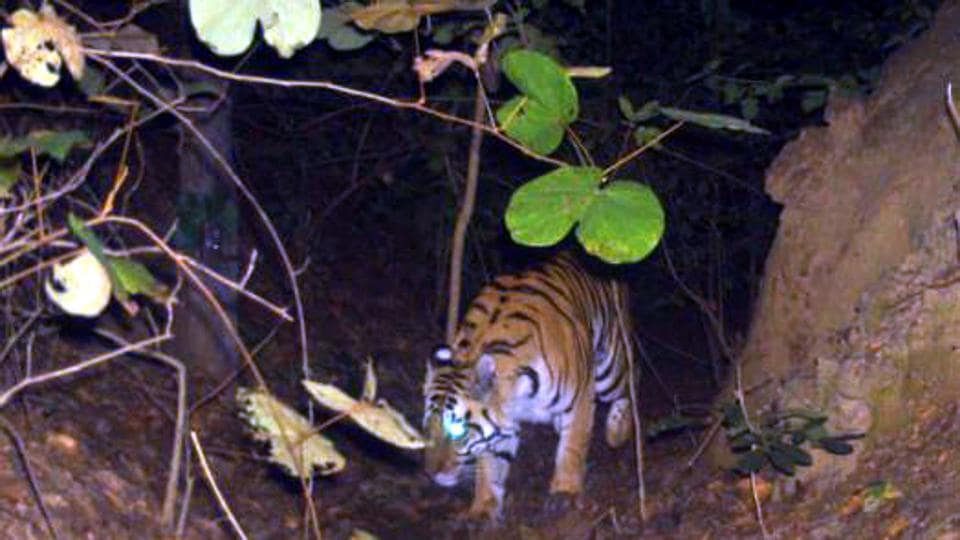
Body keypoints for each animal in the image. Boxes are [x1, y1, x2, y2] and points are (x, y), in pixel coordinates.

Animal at [422, 253, 636, 521]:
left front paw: (564, 493)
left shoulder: (579, 400)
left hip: (610, 366)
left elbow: (572, 449)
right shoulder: (500, 424)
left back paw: (618, 432)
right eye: (428, 427)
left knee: (629, 382)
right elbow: (491, 464)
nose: (431, 474)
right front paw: (484, 508)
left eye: (457, 432)